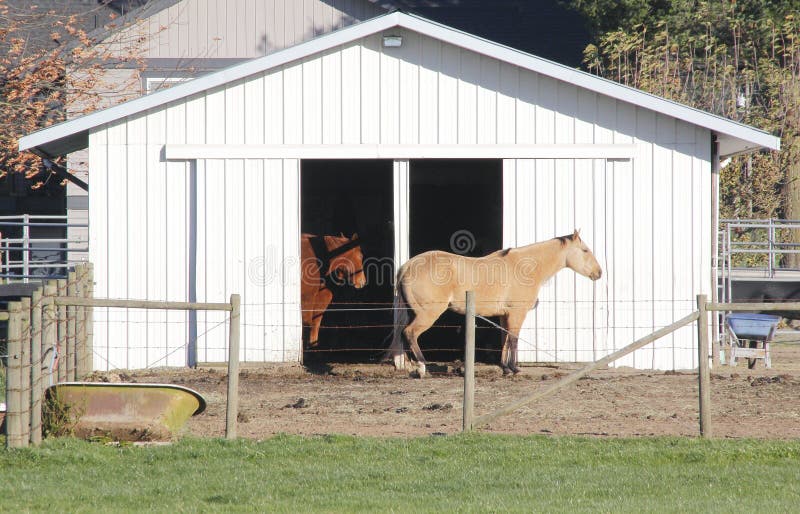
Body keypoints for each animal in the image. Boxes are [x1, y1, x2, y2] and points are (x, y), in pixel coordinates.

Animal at [389, 230, 602, 377]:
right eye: (585, 250)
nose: (599, 273)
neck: (524, 268)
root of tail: (408, 266)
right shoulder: (517, 313)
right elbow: (514, 339)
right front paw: (514, 368)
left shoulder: (505, 315)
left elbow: (506, 339)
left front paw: (505, 368)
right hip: (428, 314)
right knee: (410, 333)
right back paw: (422, 367)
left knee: (405, 335)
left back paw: (412, 367)